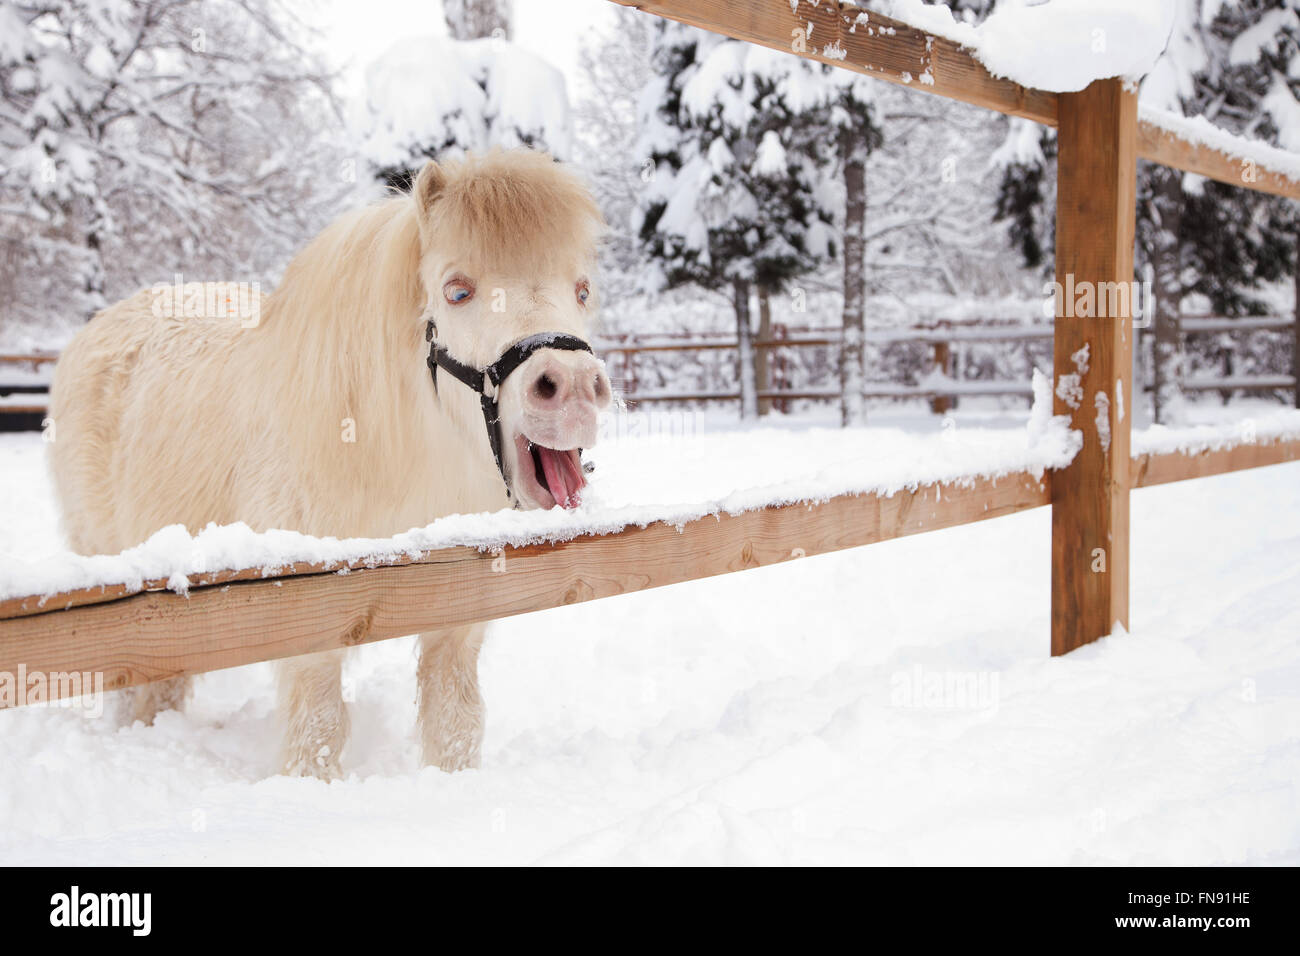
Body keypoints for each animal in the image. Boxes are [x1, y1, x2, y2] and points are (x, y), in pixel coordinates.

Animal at [48, 149, 613, 778]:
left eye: (582, 290)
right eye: (457, 291)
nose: (572, 387)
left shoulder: (457, 620)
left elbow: (455, 727)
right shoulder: (308, 624)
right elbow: (318, 733)